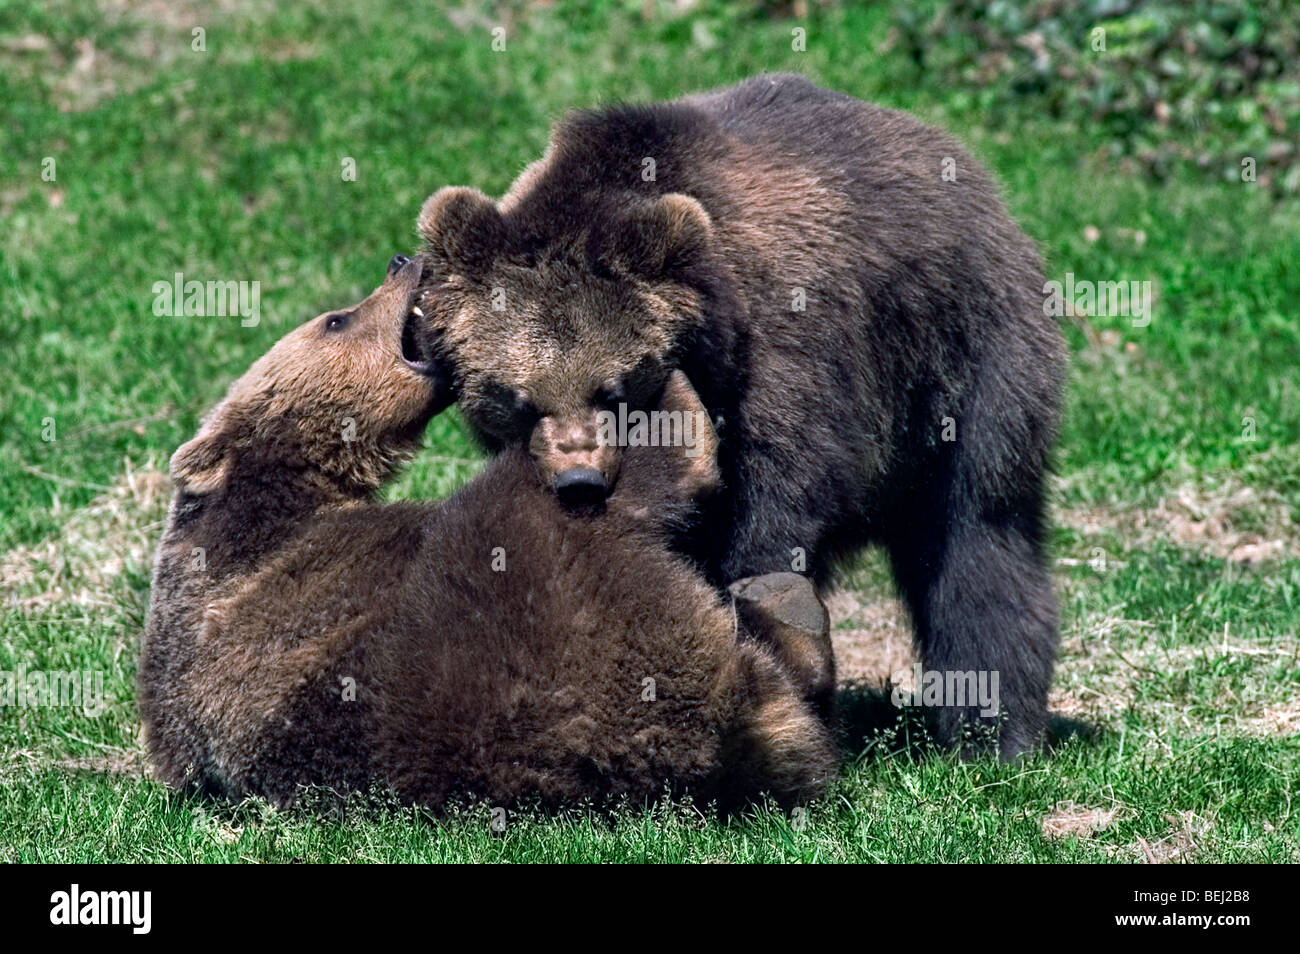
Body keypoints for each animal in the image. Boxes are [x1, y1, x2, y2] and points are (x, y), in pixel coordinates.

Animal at [406, 73, 1067, 758]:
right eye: (519, 400)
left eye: (613, 391)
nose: (578, 482)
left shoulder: (781, 372)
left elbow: (767, 529)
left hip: (964, 350)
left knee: (978, 530)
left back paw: (993, 730)